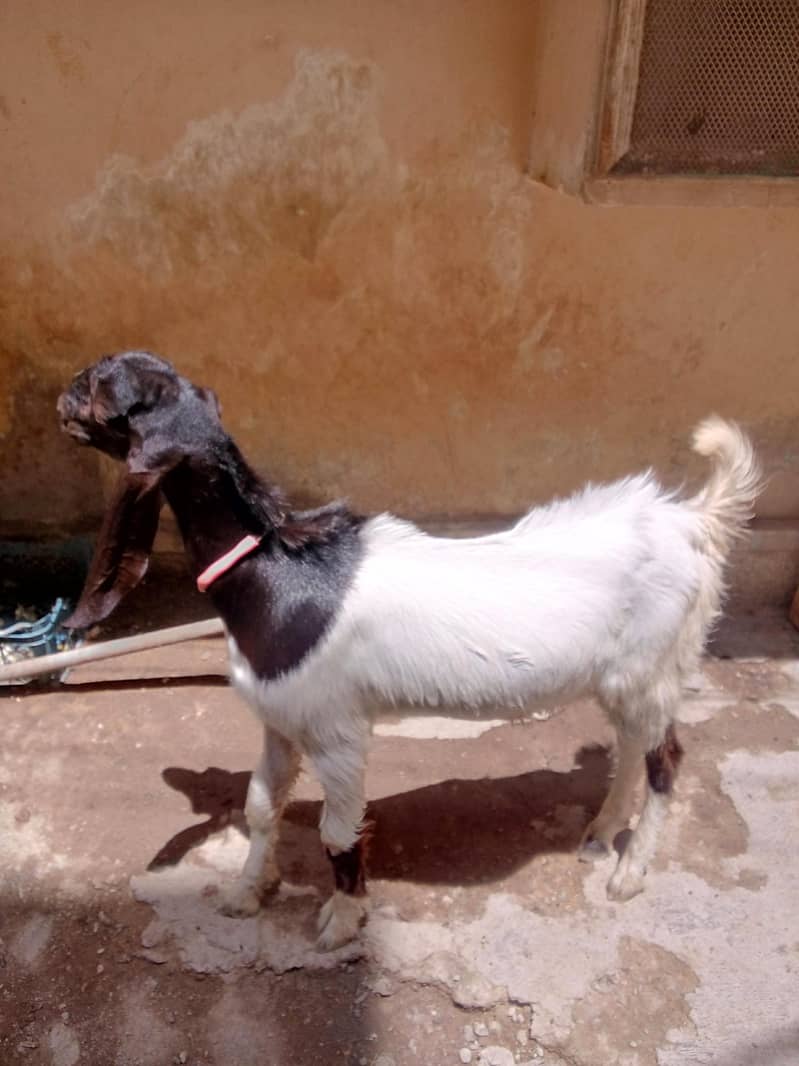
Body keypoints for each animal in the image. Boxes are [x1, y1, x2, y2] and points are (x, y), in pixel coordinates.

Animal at [58, 350, 761, 950]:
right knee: (631, 746)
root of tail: (691, 521)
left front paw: (342, 921)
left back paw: (629, 870)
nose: (60, 399)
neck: (280, 574)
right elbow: (260, 806)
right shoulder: (280, 719)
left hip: (651, 665)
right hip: (622, 676)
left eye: (98, 386)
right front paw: (247, 891)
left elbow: (337, 832)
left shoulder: (336, 729)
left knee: (666, 759)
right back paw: (600, 832)